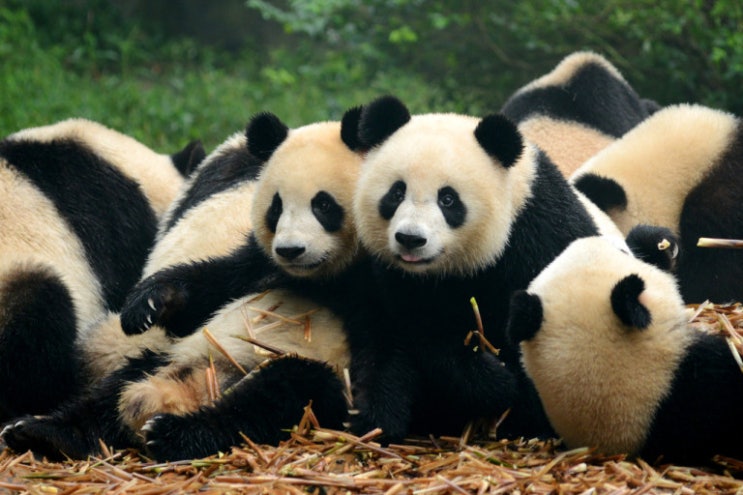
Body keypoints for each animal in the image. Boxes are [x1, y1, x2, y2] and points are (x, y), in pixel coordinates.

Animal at [343, 95, 614, 443]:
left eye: (448, 199)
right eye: (396, 192)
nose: (411, 239)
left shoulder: (539, 237)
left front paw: (506, 392)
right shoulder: (388, 277)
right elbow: (398, 339)